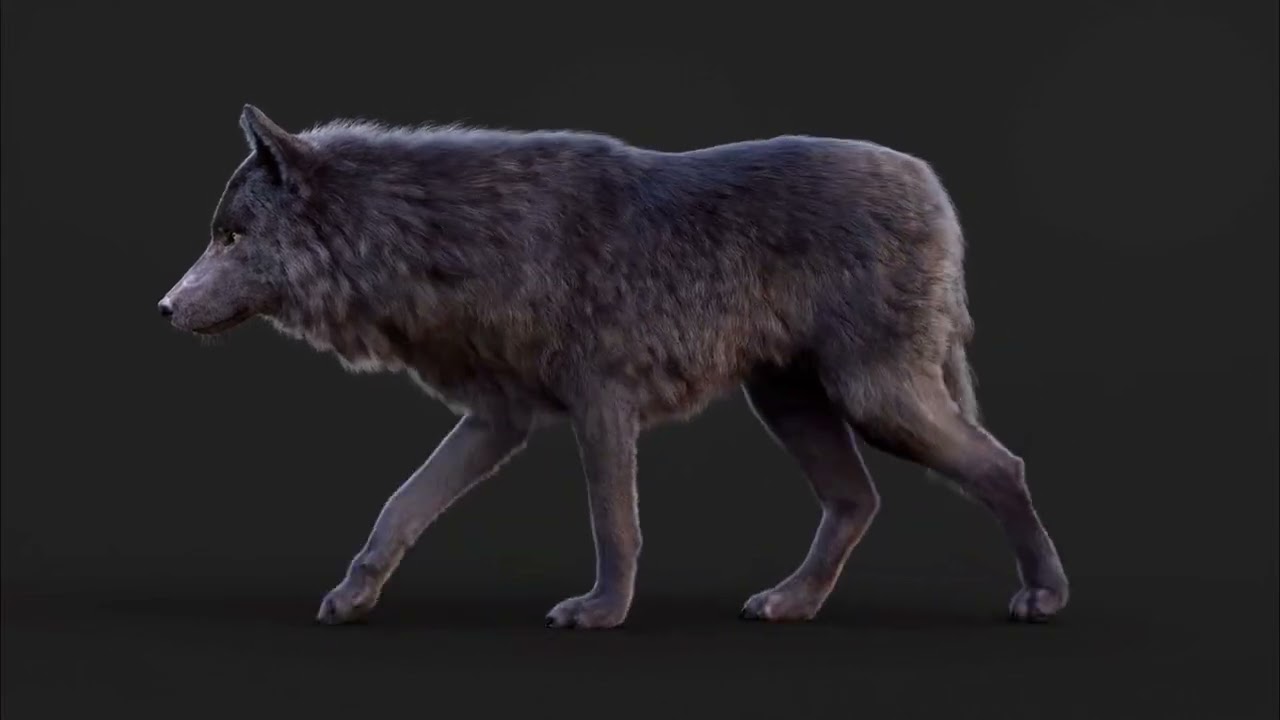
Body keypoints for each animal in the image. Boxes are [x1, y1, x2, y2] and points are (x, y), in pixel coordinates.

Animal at [158, 105, 1069, 629]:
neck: (443, 241)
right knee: (858, 500)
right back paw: (793, 603)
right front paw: (353, 597)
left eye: (230, 236)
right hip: (790, 401)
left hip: (875, 398)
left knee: (1003, 467)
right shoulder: (498, 418)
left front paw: (601, 611)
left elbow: (613, 524)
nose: (162, 309)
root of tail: (932, 181)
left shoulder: (601, 405)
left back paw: (1045, 596)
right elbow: (400, 507)